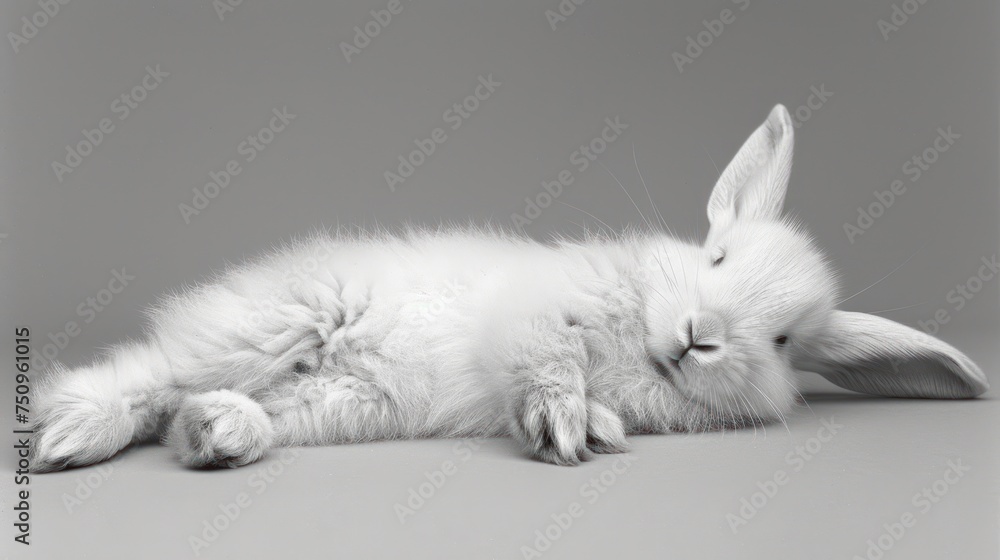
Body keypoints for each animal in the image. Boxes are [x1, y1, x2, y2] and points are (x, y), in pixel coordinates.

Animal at [28, 104, 989, 472]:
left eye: (785, 341)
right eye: (716, 258)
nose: (699, 335)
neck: (636, 341)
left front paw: (596, 431)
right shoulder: (540, 313)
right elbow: (546, 355)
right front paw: (563, 424)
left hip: (341, 405)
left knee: (194, 412)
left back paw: (219, 433)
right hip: (277, 323)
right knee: (152, 373)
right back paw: (67, 434)